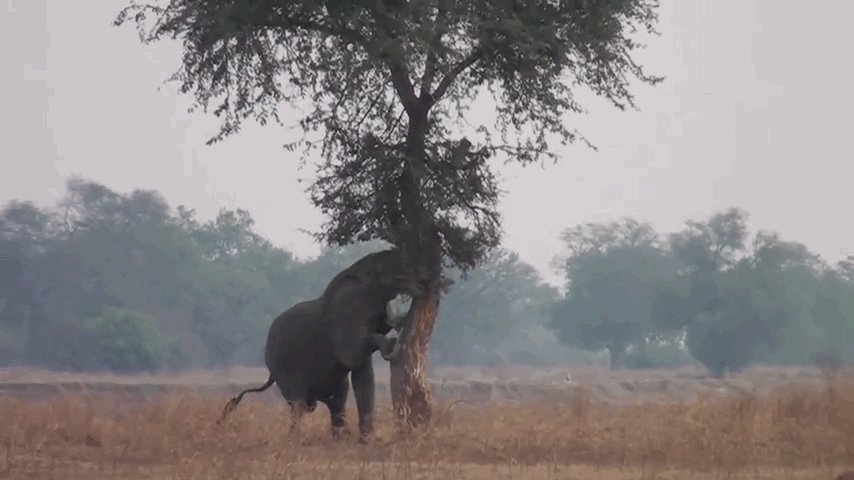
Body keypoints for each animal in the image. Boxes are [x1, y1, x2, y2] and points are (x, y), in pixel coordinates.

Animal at [218, 249, 409, 443]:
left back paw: (340, 439)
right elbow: (351, 354)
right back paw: (296, 439)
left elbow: (363, 373)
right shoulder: (344, 317)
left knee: (336, 402)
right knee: (300, 405)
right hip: (284, 371)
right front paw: (391, 345)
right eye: (391, 265)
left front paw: (367, 441)